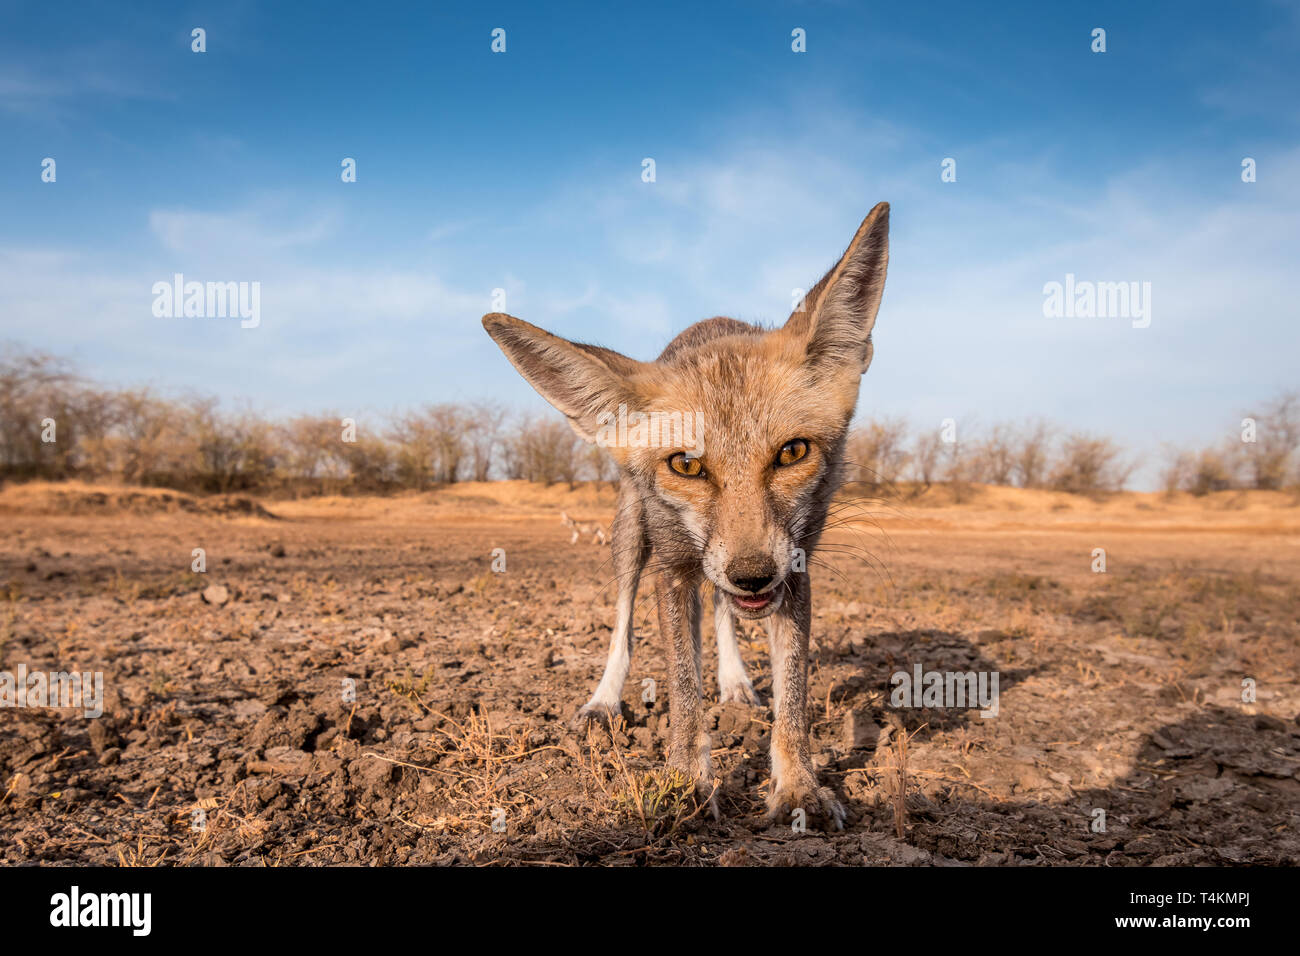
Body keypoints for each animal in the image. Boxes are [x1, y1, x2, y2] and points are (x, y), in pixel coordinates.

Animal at [482, 202, 889, 829]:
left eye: (793, 452)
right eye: (687, 465)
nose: (753, 575)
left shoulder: (795, 569)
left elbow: (793, 697)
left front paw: (798, 787)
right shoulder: (672, 569)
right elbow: (682, 688)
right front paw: (686, 784)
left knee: (722, 610)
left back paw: (736, 683)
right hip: (631, 538)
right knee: (624, 621)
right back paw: (604, 701)